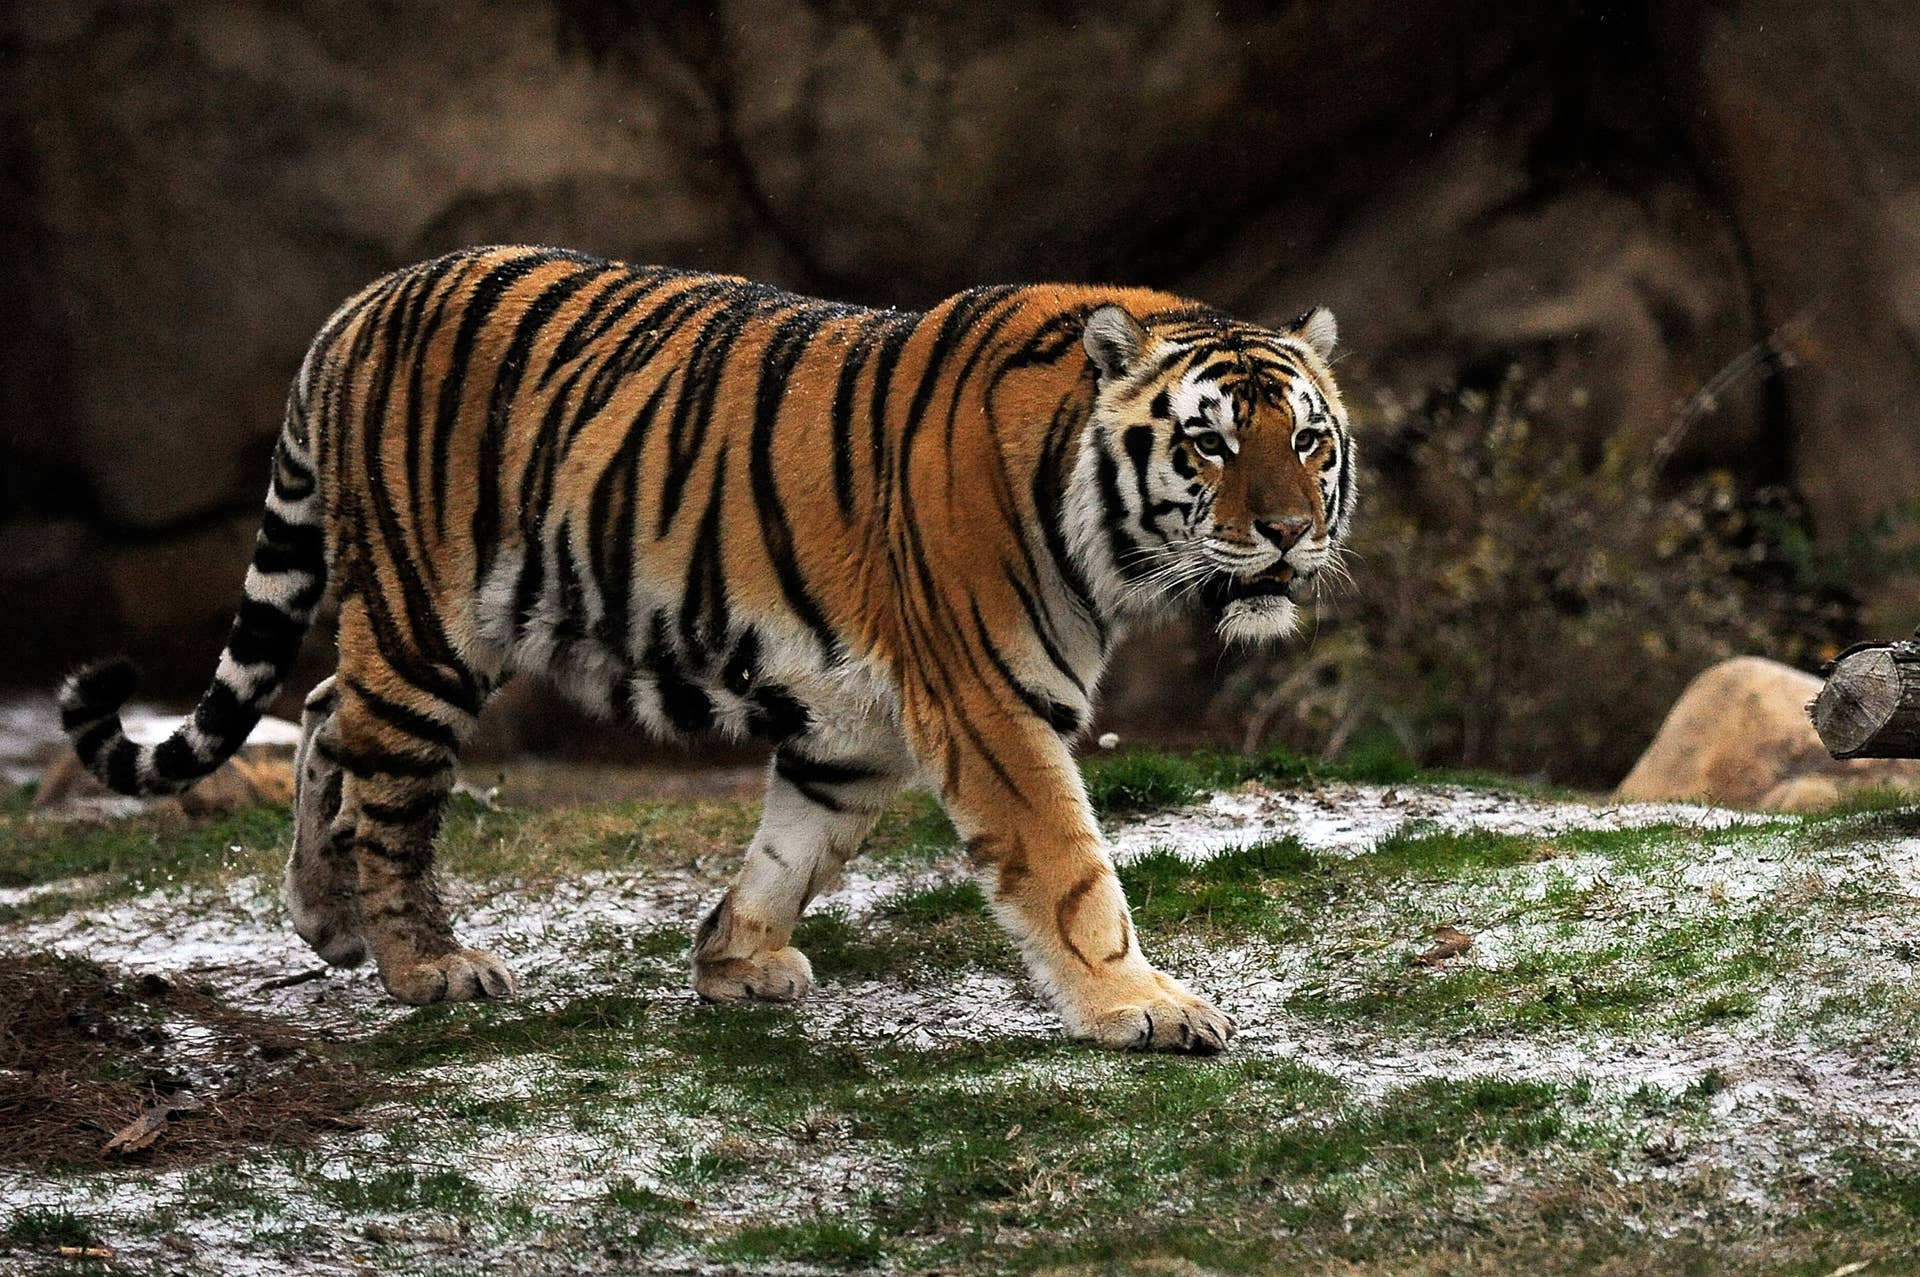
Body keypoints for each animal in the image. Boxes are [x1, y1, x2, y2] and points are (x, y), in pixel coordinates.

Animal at [58, 245, 1352, 1053]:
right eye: (1210, 444)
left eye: (1308, 441)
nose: (1290, 531)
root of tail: (357, 304)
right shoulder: (990, 706)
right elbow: (1073, 869)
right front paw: (1144, 1005)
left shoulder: (856, 727)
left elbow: (795, 845)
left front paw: (732, 958)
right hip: (431, 622)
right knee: (388, 776)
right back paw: (423, 962)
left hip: (438, 623)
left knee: (329, 707)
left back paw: (328, 920)